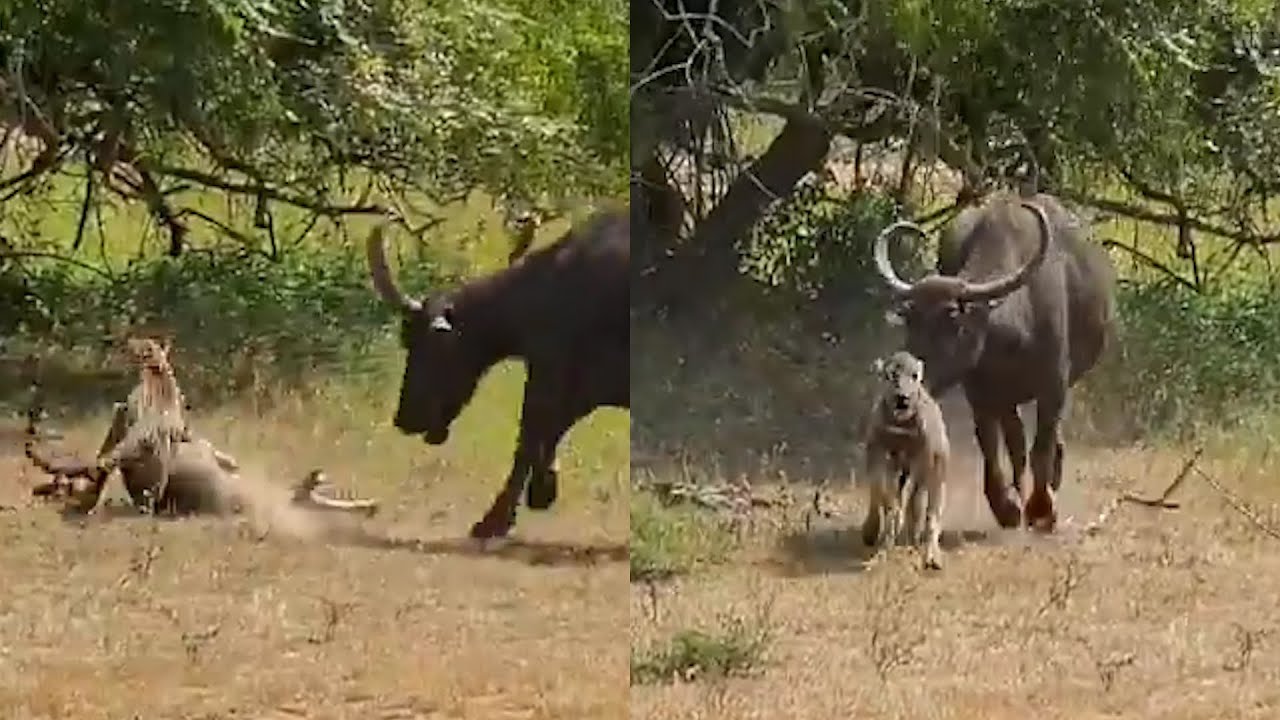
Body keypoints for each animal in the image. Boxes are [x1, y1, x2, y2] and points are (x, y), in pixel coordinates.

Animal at [366, 207, 629, 538]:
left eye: (425, 347)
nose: (404, 418)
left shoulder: (551, 372)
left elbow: (528, 442)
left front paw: (494, 519)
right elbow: (547, 437)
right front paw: (542, 490)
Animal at [871, 192, 1116, 532]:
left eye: (953, 319)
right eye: (911, 319)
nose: (908, 380)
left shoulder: (1053, 384)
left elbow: (1042, 444)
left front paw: (1041, 507)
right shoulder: (983, 394)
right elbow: (993, 445)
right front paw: (1007, 506)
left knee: (1046, 438)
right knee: (1016, 443)